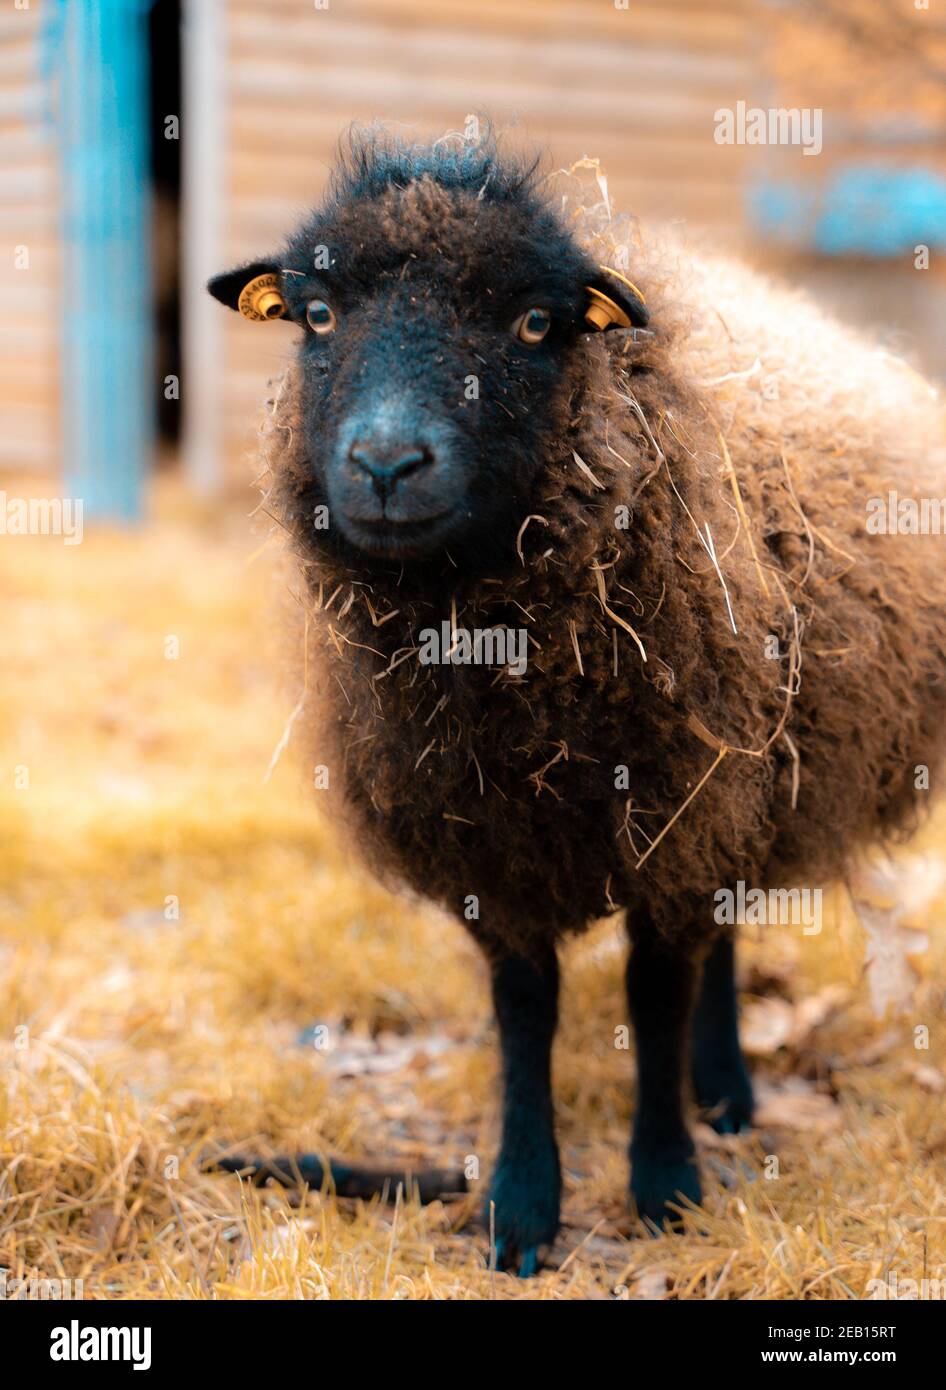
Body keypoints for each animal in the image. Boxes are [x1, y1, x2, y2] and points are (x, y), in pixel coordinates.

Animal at [208, 130, 946, 1276]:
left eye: (532, 323)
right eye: (316, 314)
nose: (385, 464)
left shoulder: (681, 811)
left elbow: (655, 995)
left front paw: (666, 1182)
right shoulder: (492, 850)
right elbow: (526, 1011)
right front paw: (521, 1207)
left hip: (739, 784)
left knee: (713, 947)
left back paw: (723, 1091)